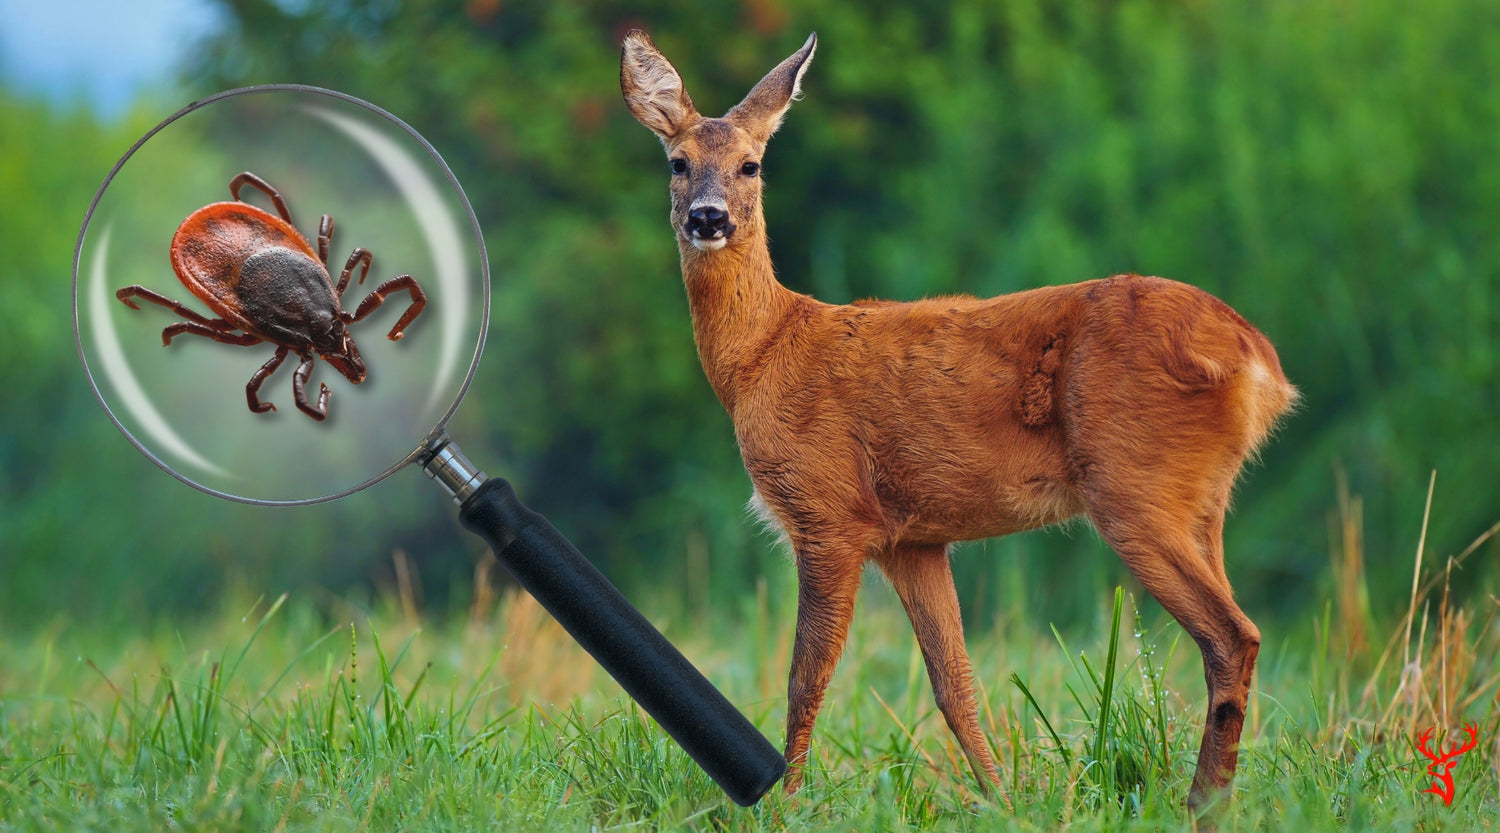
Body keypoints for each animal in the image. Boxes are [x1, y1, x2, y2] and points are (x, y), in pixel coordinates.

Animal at [621, 30, 1297, 812]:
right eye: (677, 162)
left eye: (750, 164)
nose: (709, 217)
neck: (763, 353)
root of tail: (1257, 361)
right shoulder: (913, 538)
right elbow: (956, 684)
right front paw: (1005, 801)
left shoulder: (827, 510)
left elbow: (805, 679)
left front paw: (785, 805)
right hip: (1203, 499)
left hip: (1133, 484)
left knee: (1233, 635)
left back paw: (1201, 805)